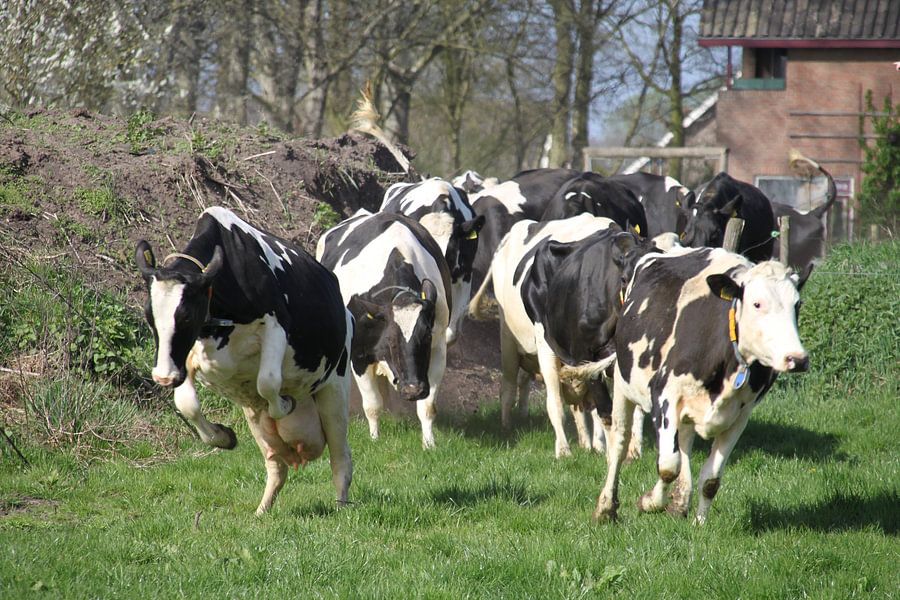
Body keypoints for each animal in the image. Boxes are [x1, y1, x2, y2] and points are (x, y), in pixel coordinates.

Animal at [135, 206, 353, 515]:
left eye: (186, 316)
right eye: (148, 315)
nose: (163, 377)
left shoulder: (276, 326)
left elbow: (268, 382)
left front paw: (285, 403)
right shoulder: (190, 355)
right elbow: (187, 404)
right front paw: (223, 436)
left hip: (334, 389)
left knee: (341, 458)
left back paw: (342, 506)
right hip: (256, 418)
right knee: (277, 466)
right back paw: (262, 510)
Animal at [316, 210, 451, 449]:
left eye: (425, 335)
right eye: (390, 340)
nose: (413, 389)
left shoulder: (438, 349)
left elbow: (427, 407)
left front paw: (429, 443)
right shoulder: (359, 355)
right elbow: (372, 405)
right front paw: (374, 438)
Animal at [469, 213, 654, 458]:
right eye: (625, 278)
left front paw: (630, 450)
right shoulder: (584, 354)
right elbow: (602, 409)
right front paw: (608, 451)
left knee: (578, 404)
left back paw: (588, 443)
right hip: (514, 340)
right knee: (517, 390)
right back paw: (520, 432)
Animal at [593, 247, 812, 523]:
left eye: (797, 304)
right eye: (757, 303)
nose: (797, 358)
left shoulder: (740, 415)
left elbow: (710, 480)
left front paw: (700, 523)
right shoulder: (664, 395)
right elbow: (668, 466)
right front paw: (649, 502)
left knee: (685, 440)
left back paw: (679, 503)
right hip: (624, 384)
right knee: (619, 444)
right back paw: (606, 508)